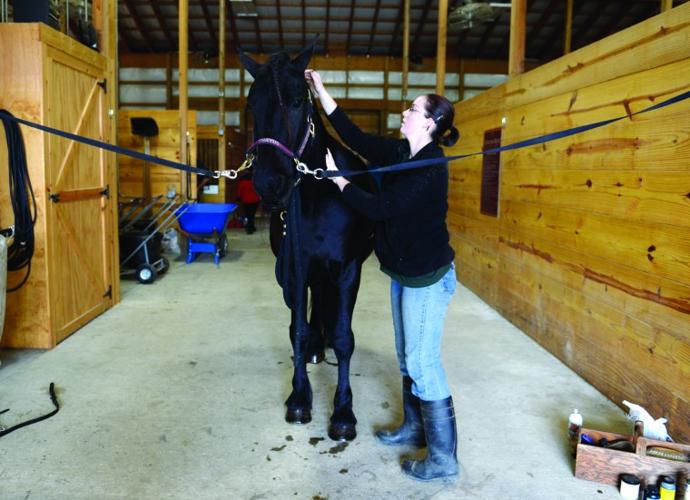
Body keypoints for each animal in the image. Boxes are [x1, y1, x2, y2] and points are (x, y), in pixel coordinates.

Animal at [239, 44, 374, 441]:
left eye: (299, 99)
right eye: (251, 104)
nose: (270, 182)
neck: (315, 197)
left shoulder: (347, 269)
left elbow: (345, 338)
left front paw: (343, 412)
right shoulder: (295, 268)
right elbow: (296, 330)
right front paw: (299, 396)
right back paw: (317, 343)